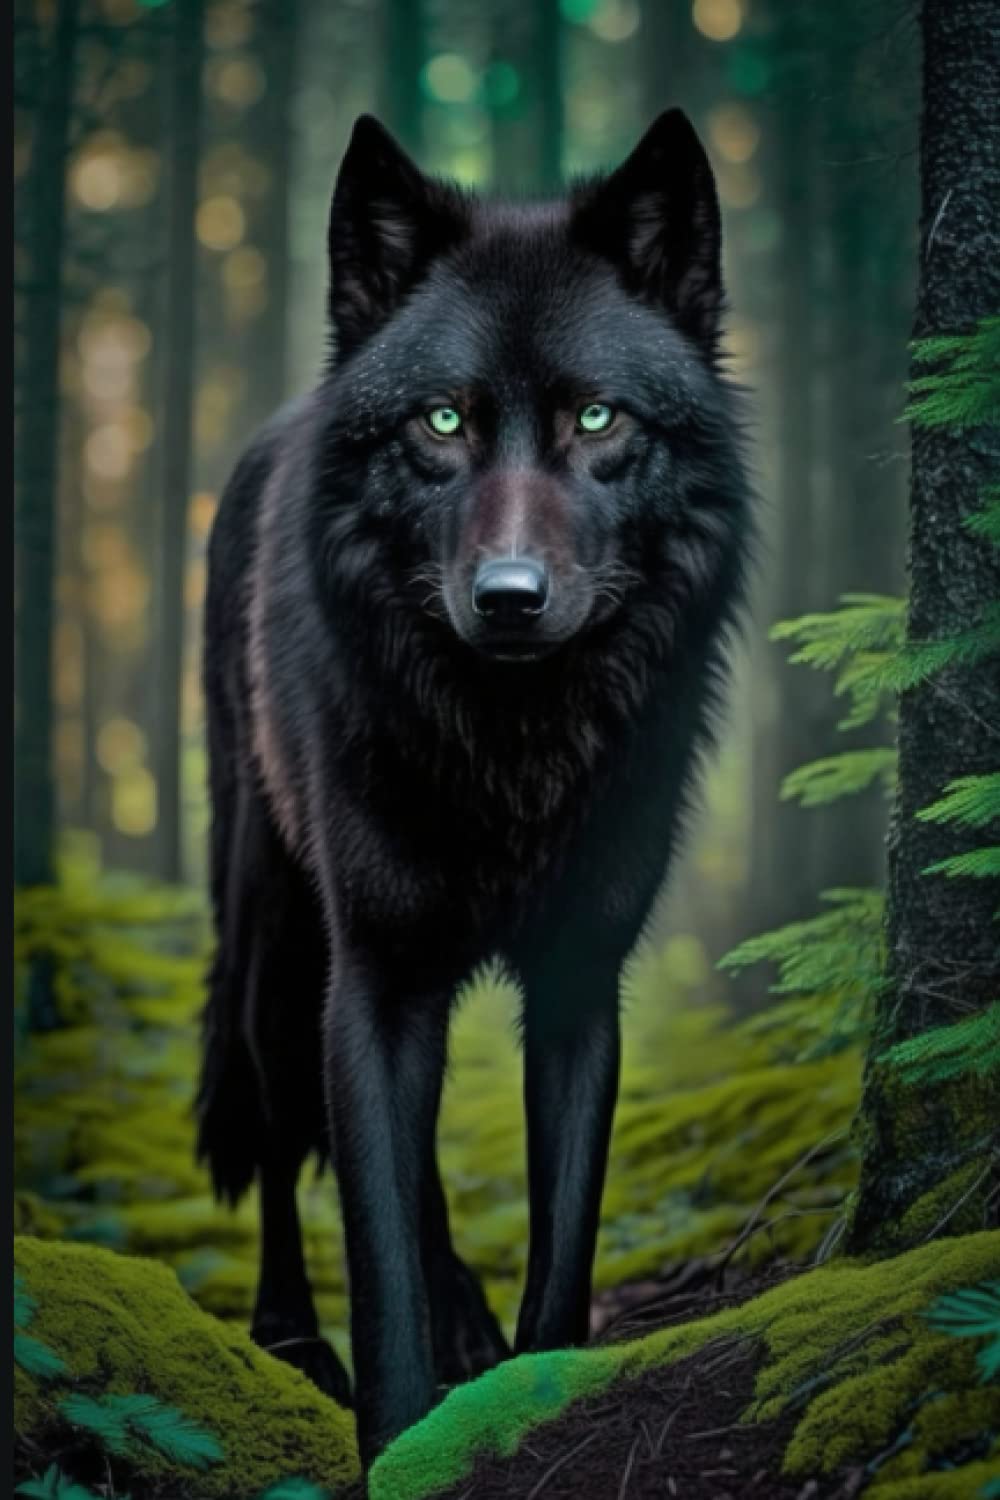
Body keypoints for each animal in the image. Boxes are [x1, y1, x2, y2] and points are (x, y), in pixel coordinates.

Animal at [197, 107, 752, 1465]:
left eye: (597, 418)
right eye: (443, 424)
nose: (508, 598)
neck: (511, 754)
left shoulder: (578, 984)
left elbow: (560, 1239)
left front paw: (525, 1391)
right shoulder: (378, 980)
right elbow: (378, 1243)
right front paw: (400, 1437)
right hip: (274, 939)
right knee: (285, 1136)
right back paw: (290, 1335)